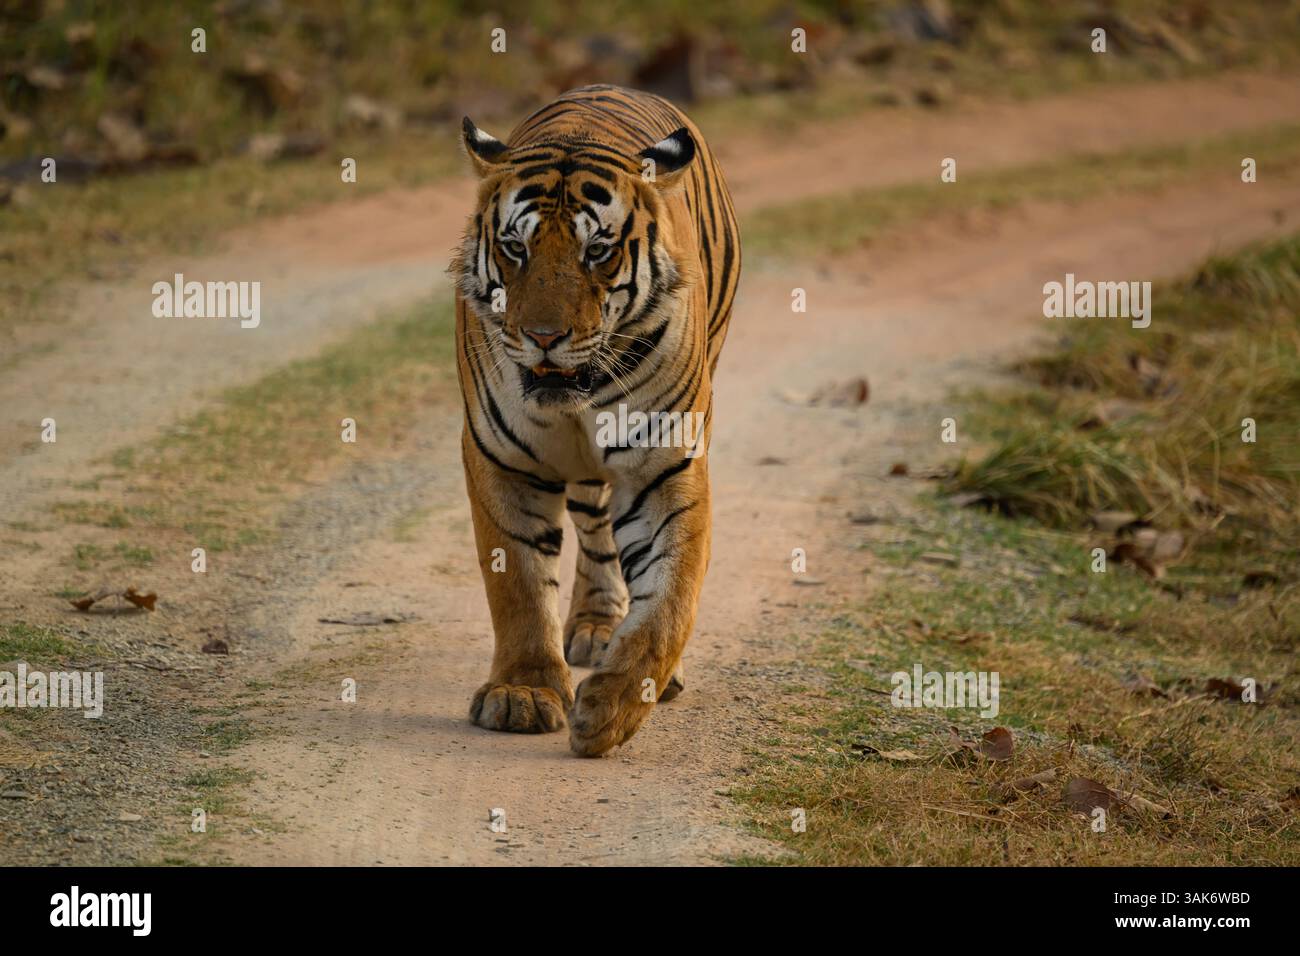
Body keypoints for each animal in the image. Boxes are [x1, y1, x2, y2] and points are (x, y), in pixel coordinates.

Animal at [451, 84, 741, 757]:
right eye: (515, 248)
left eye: (598, 252)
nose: (543, 337)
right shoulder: (500, 459)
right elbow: (518, 583)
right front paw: (523, 693)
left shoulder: (665, 467)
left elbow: (669, 600)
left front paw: (616, 705)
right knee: (595, 527)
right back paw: (595, 625)